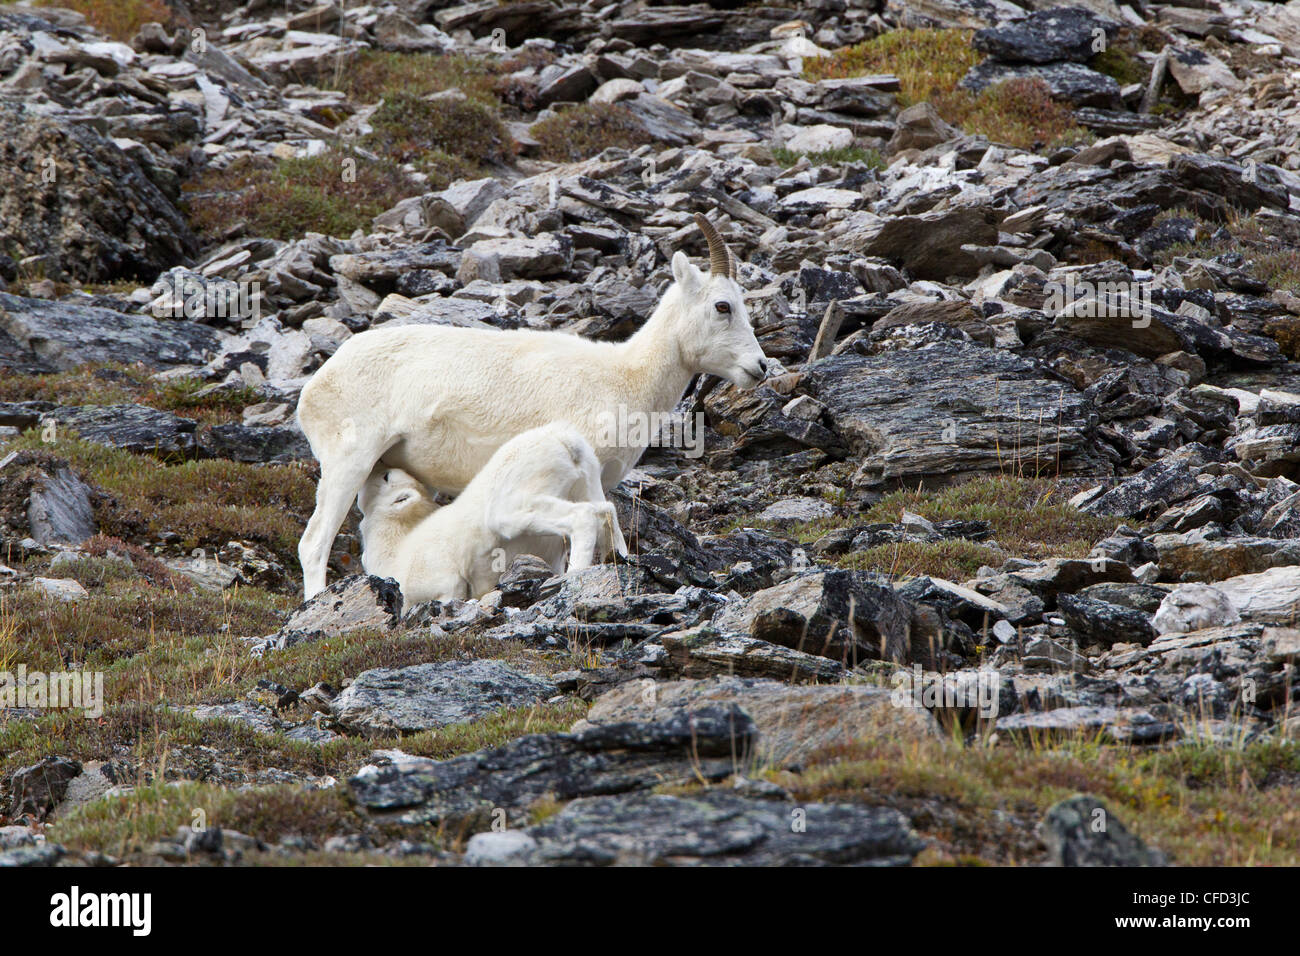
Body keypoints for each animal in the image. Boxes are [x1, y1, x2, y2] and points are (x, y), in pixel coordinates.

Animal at [356, 422, 628, 604]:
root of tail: (564, 441)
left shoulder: (444, 581)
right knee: (605, 510)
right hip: (587, 480)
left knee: (581, 516)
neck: (398, 551)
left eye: (386, 476)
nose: (377, 462)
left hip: (514, 508)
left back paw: (574, 575)